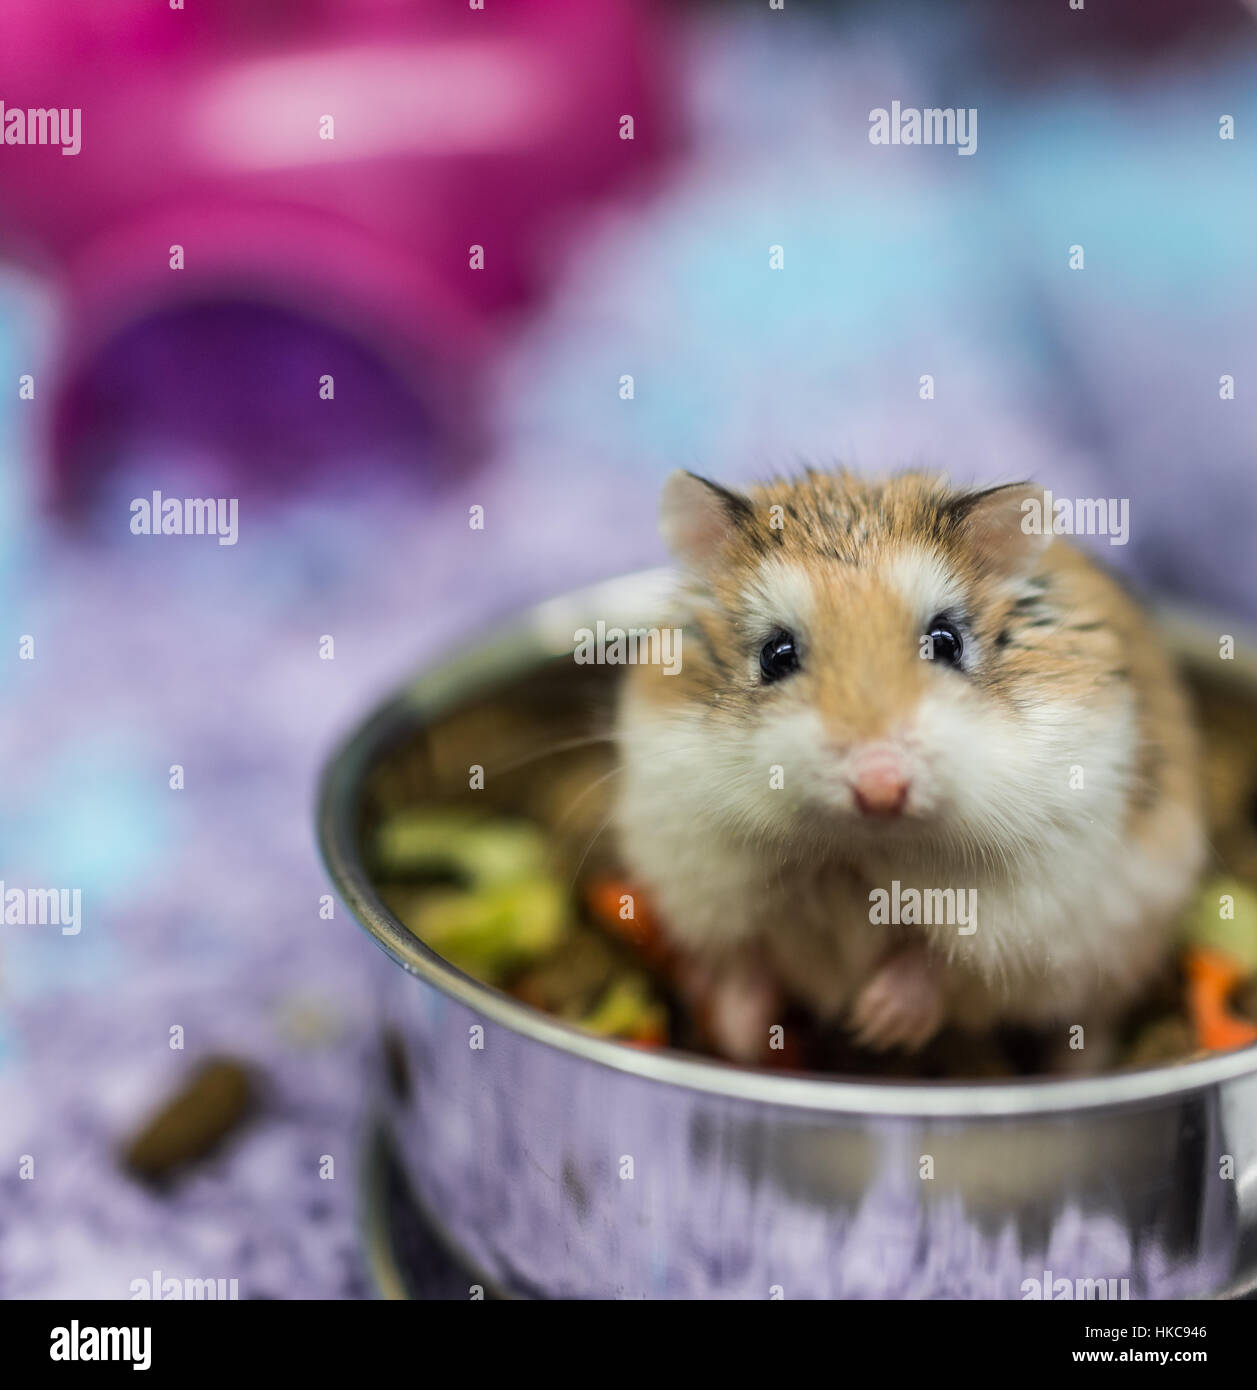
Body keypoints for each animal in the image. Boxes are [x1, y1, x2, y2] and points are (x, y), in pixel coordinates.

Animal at [613, 468, 1206, 1067]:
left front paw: (876, 1024)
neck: (853, 848)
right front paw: (744, 1037)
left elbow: (942, 960)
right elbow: (744, 957)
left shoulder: (1025, 897)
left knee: (1089, 1029)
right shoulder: (700, 874)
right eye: (776, 655)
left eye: (946, 642)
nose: (880, 788)